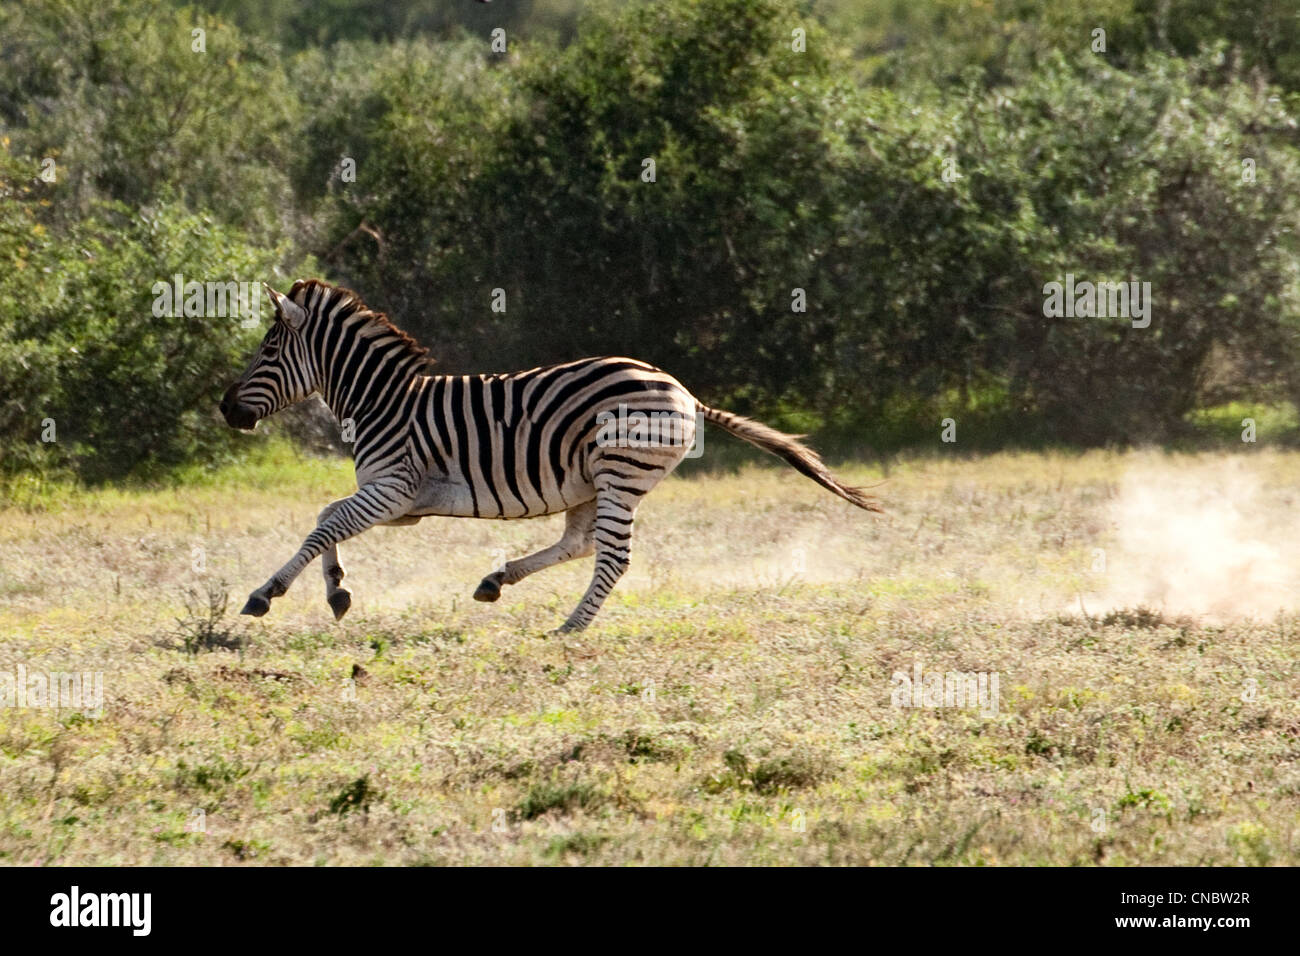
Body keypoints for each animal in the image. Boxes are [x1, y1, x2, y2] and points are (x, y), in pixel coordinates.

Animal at [220, 279, 879, 632]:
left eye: (268, 349)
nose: (227, 409)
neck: (385, 401)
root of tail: (684, 392)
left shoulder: (396, 488)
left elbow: (323, 523)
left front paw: (265, 594)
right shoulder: (402, 501)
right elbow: (328, 517)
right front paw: (336, 591)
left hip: (620, 473)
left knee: (611, 555)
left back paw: (569, 628)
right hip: (593, 481)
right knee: (581, 543)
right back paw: (497, 580)